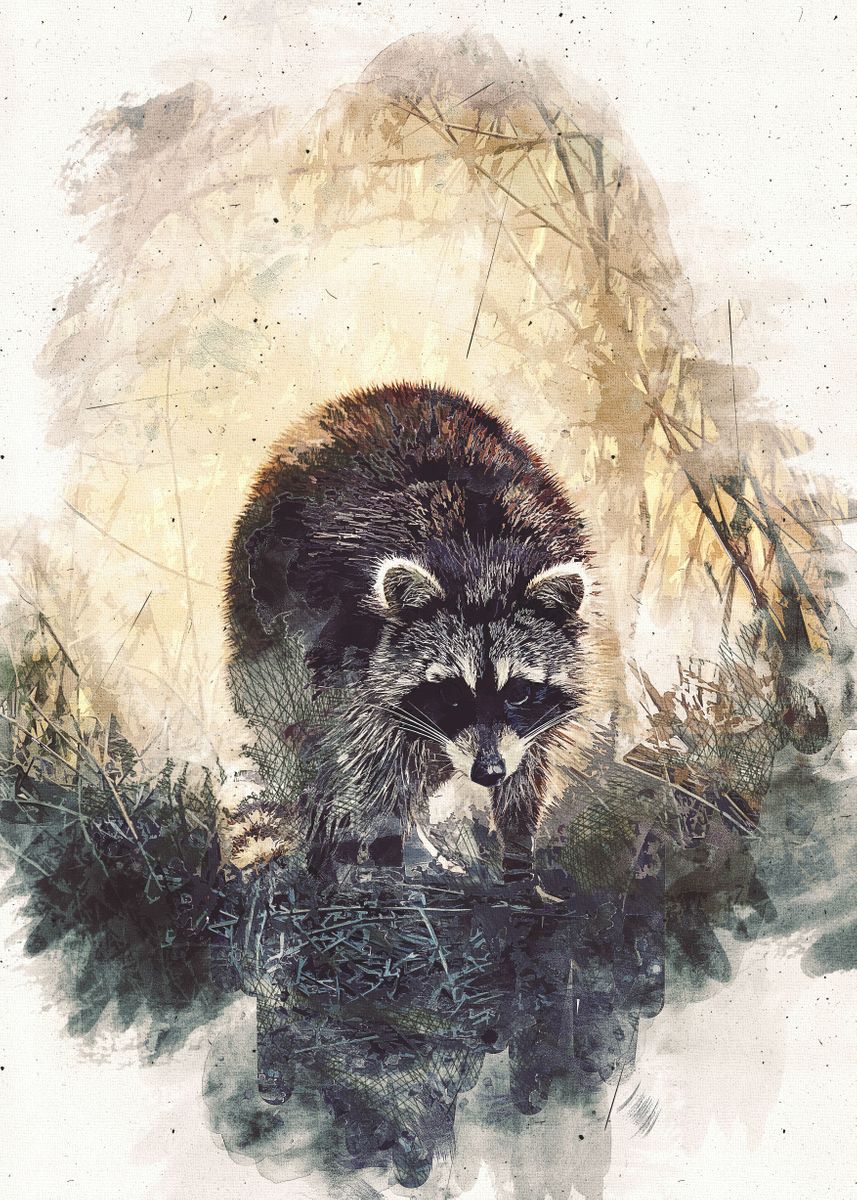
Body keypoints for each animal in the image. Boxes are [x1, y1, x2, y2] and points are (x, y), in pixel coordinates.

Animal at [225, 382, 599, 877]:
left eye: (519, 690)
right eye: (452, 692)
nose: (488, 773)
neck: (481, 561)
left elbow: (529, 764)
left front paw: (519, 852)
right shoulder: (357, 653)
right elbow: (375, 761)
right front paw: (388, 852)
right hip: (267, 624)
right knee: (311, 740)